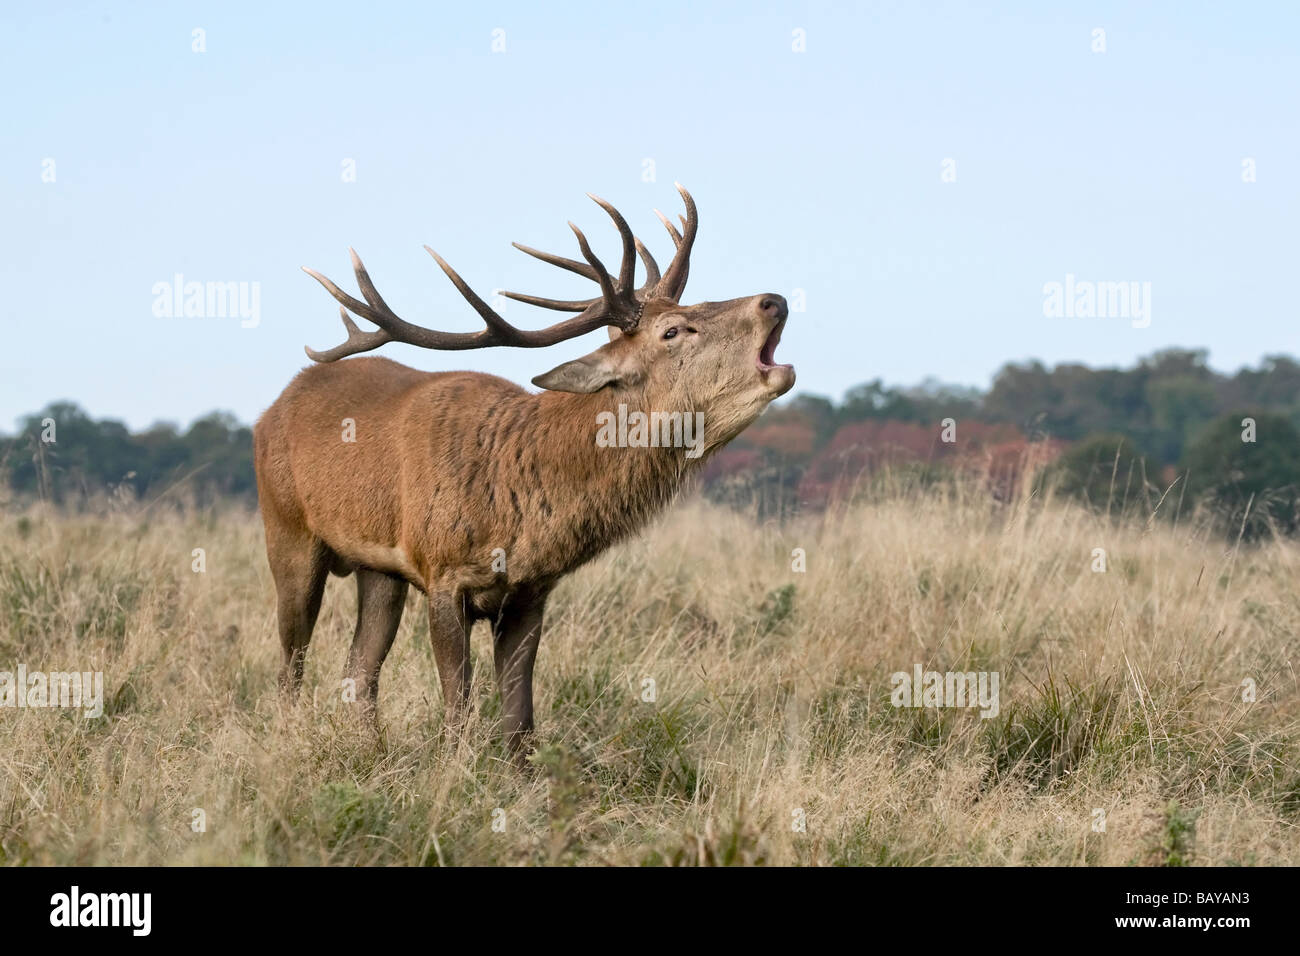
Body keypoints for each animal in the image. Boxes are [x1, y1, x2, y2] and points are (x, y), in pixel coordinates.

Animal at [253, 186, 794, 761]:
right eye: (673, 330)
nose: (773, 300)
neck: (521, 513)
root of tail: (272, 408)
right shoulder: (442, 570)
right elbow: (459, 711)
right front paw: (455, 771)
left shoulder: (531, 591)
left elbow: (519, 723)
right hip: (287, 531)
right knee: (290, 664)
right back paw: (288, 742)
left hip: (378, 570)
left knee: (358, 669)